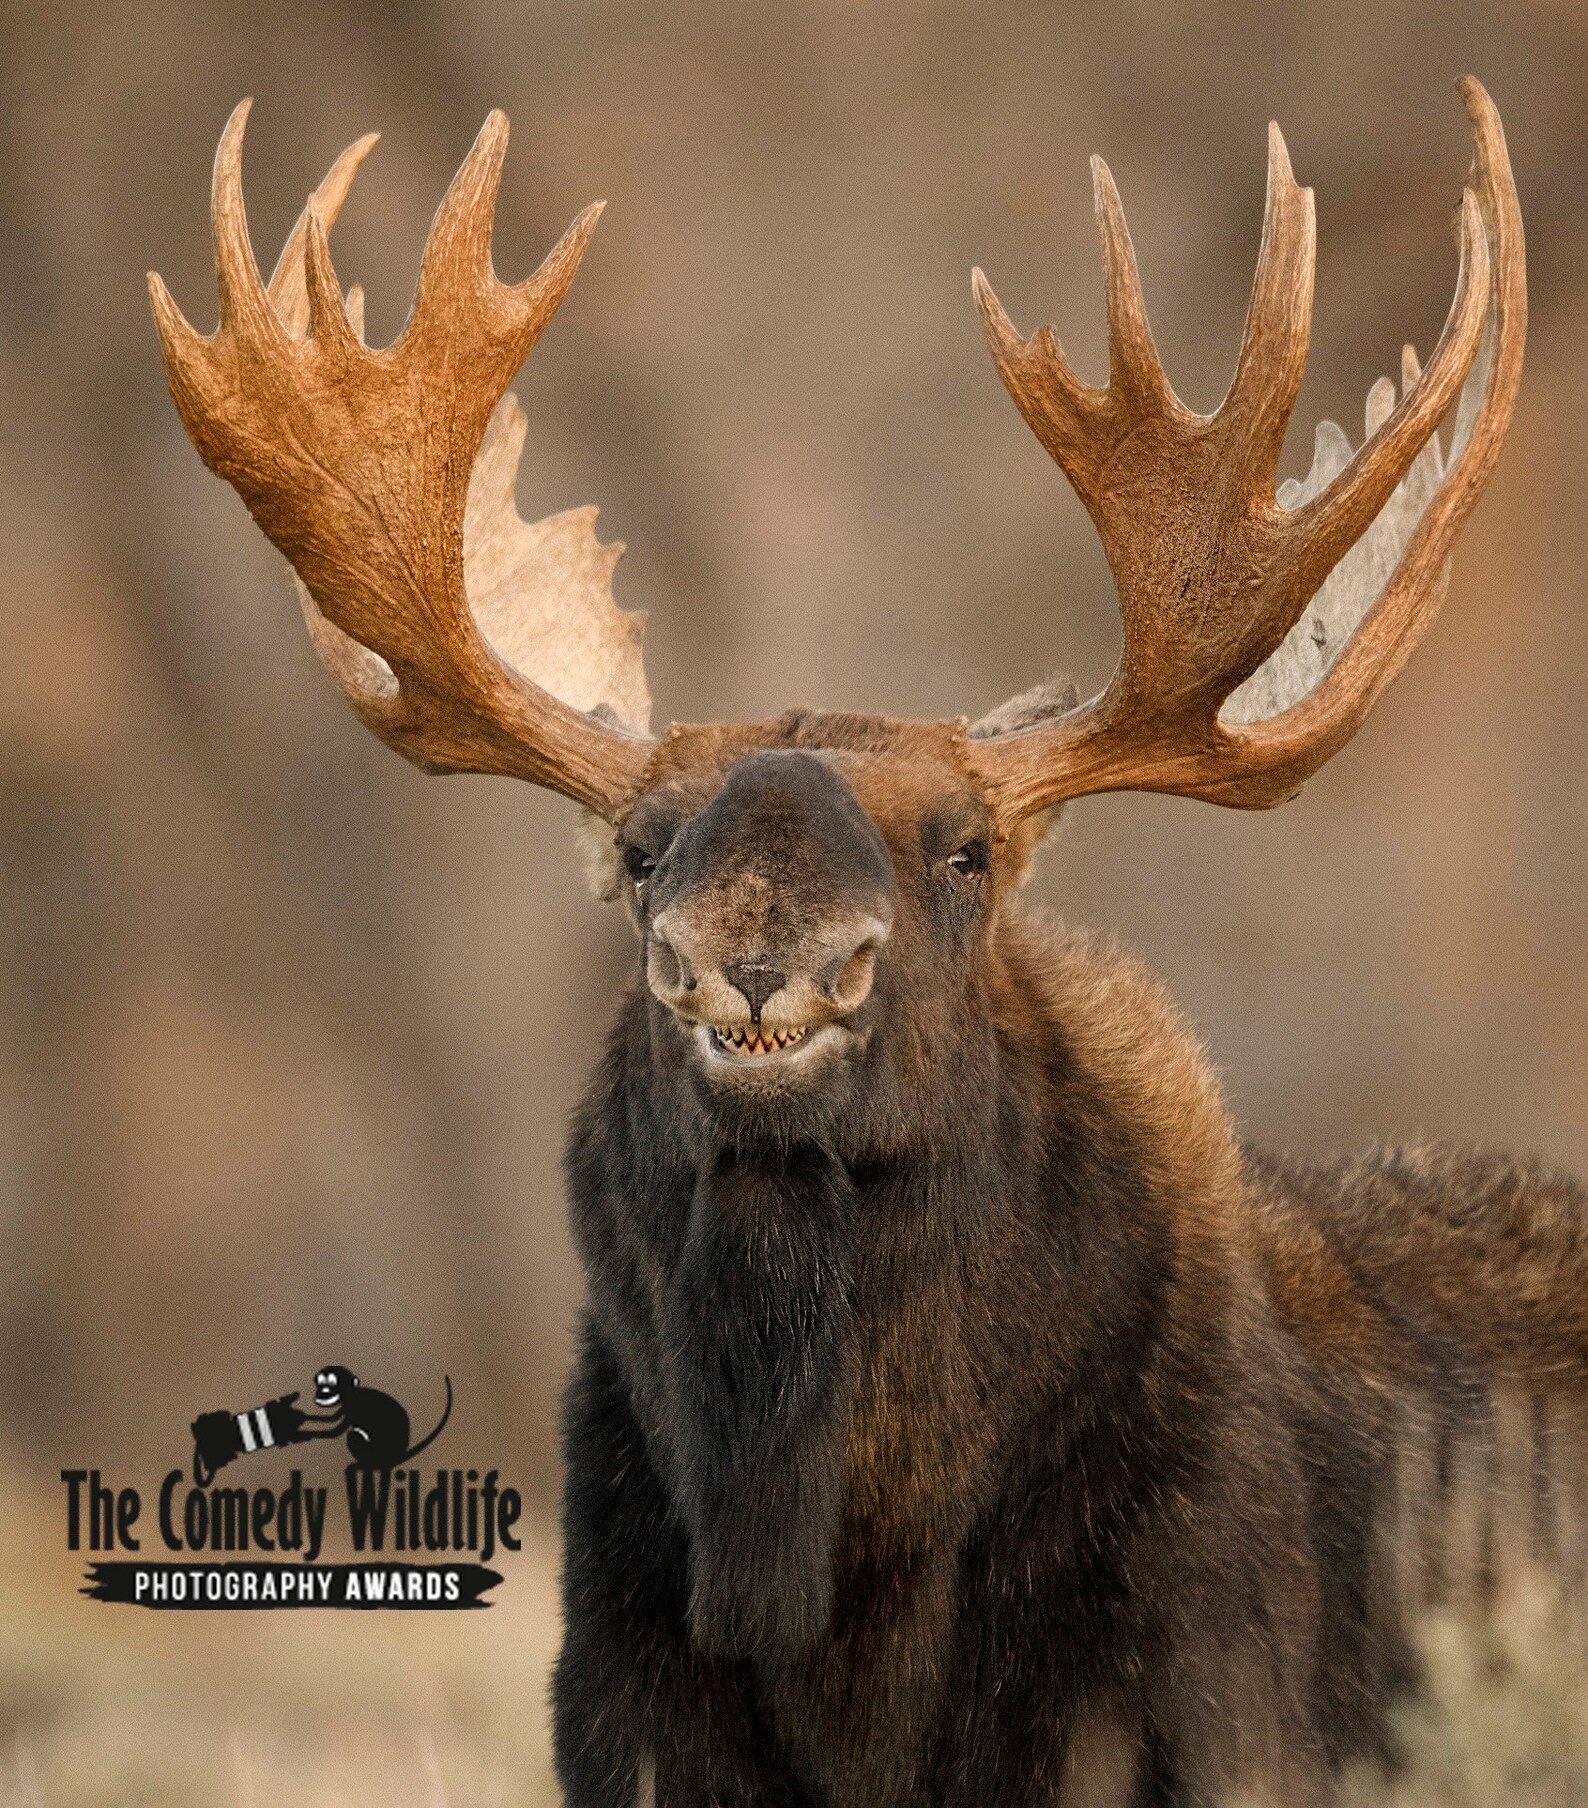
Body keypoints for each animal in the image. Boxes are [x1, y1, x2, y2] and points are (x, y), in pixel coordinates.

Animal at [149, 78, 1575, 1806]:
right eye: (642, 852)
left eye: (966, 849)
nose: (761, 959)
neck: (848, 1607)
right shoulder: (620, 1712)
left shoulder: (1224, 1716)